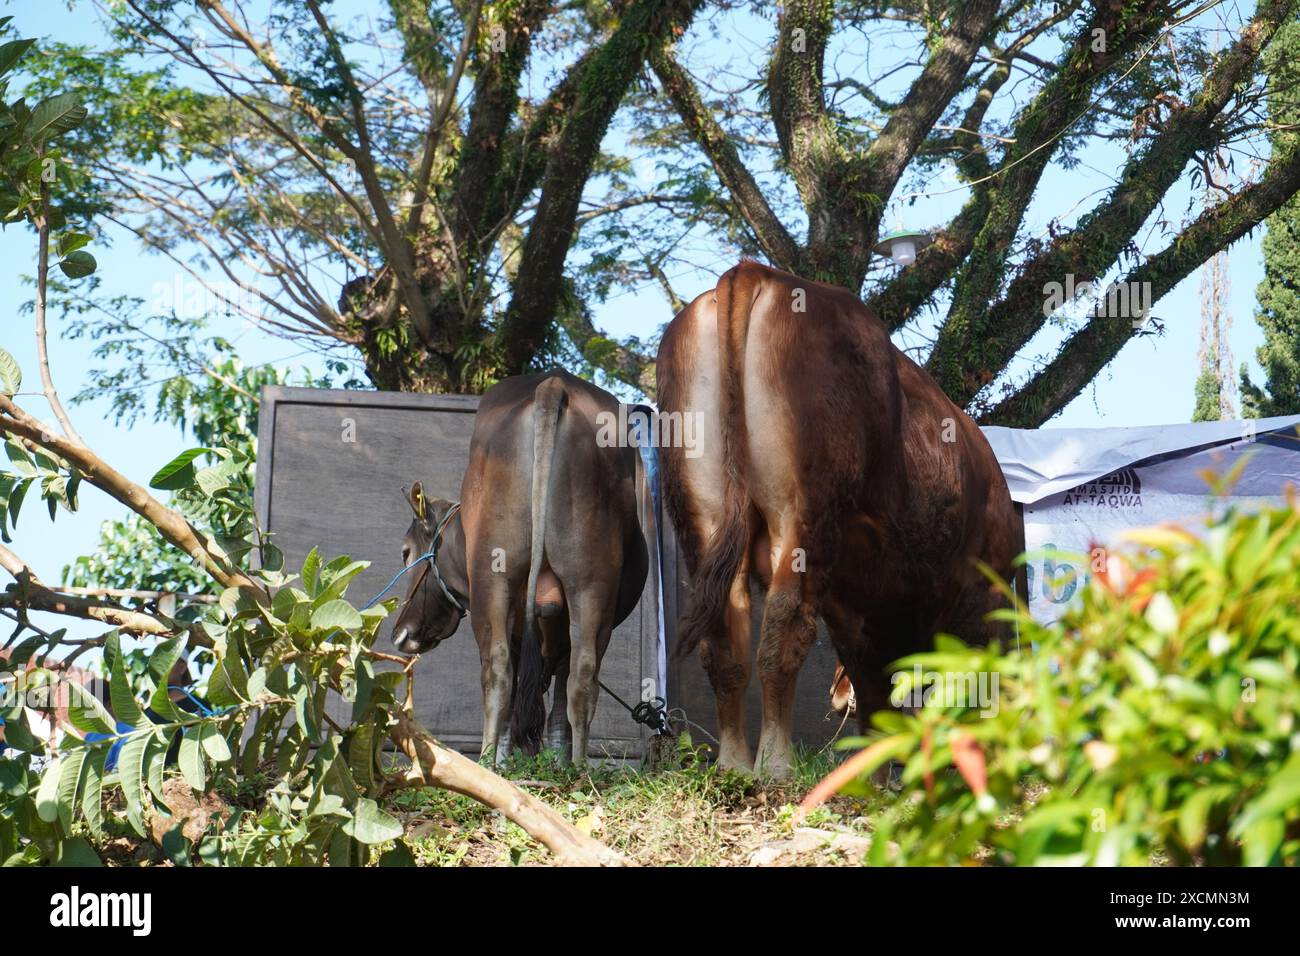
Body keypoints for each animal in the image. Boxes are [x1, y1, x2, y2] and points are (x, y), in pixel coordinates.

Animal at [390, 369, 652, 765]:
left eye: (406, 551)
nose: (400, 634)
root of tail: (553, 384)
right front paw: (549, 761)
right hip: (587, 583)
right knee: (581, 675)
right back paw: (577, 768)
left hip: (496, 580)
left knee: (501, 672)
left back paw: (491, 763)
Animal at [657, 260, 1023, 779]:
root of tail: (756, 271)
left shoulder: (858, 609)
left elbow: (874, 688)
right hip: (805, 509)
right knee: (784, 626)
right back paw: (776, 764)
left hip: (703, 511)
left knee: (726, 638)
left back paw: (734, 764)